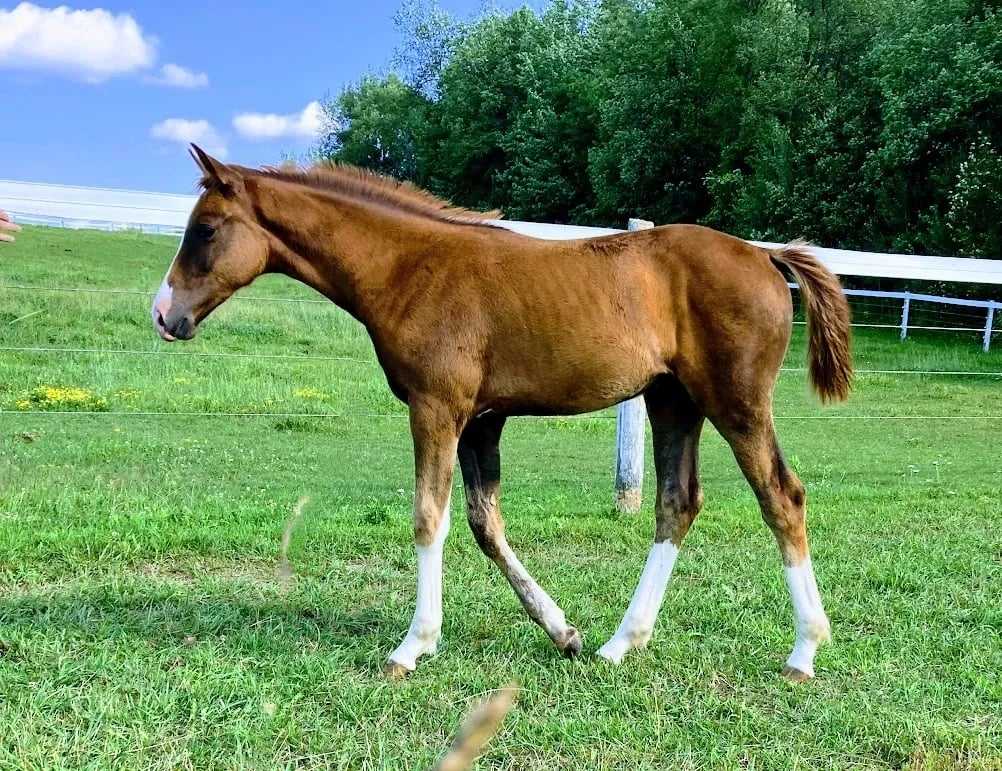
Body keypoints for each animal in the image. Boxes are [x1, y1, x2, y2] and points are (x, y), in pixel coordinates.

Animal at [152, 145, 852, 682]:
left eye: (205, 229)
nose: (164, 315)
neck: (411, 268)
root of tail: (765, 255)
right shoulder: (482, 420)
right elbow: (485, 524)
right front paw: (563, 632)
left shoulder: (438, 408)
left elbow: (429, 518)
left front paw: (412, 646)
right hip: (671, 401)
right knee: (677, 503)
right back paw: (618, 644)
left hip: (735, 402)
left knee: (782, 496)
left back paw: (803, 652)